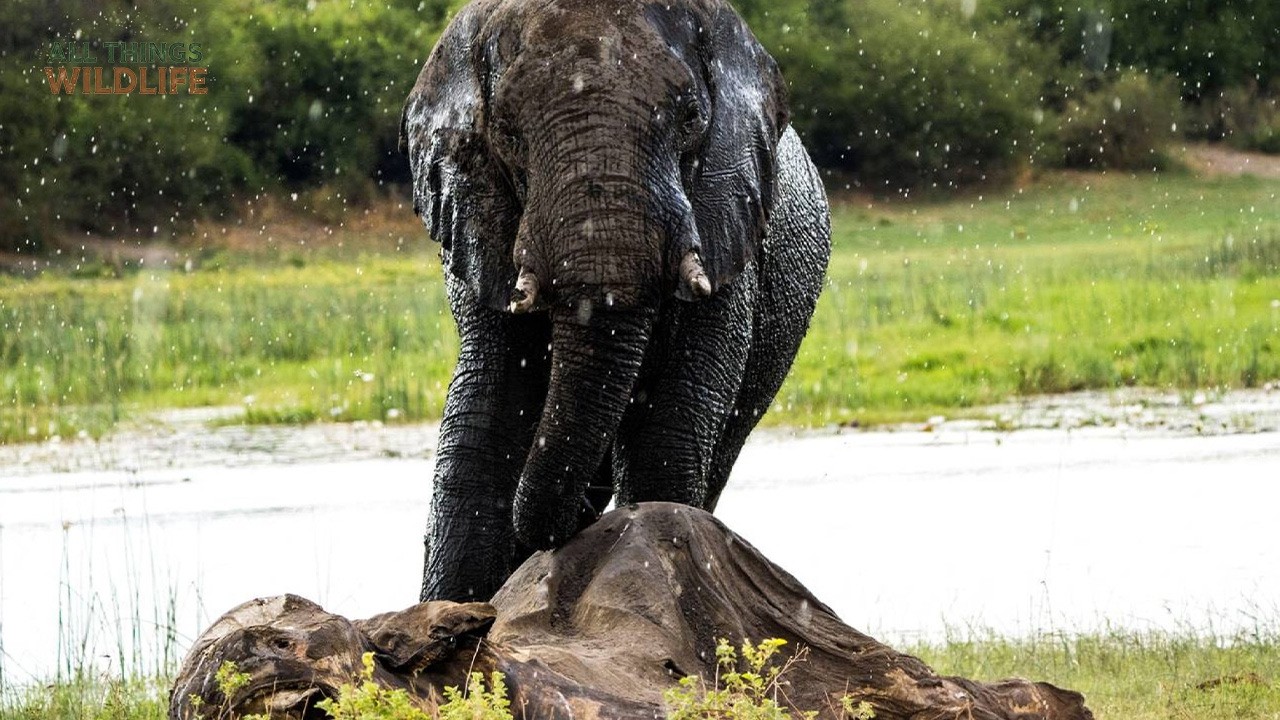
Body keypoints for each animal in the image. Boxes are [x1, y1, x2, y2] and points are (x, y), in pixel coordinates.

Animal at [401, 0, 831, 602]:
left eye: (690, 120)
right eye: (506, 134)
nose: (548, 539)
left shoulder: (726, 225)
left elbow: (667, 433)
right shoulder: (476, 224)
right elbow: (485, 422)